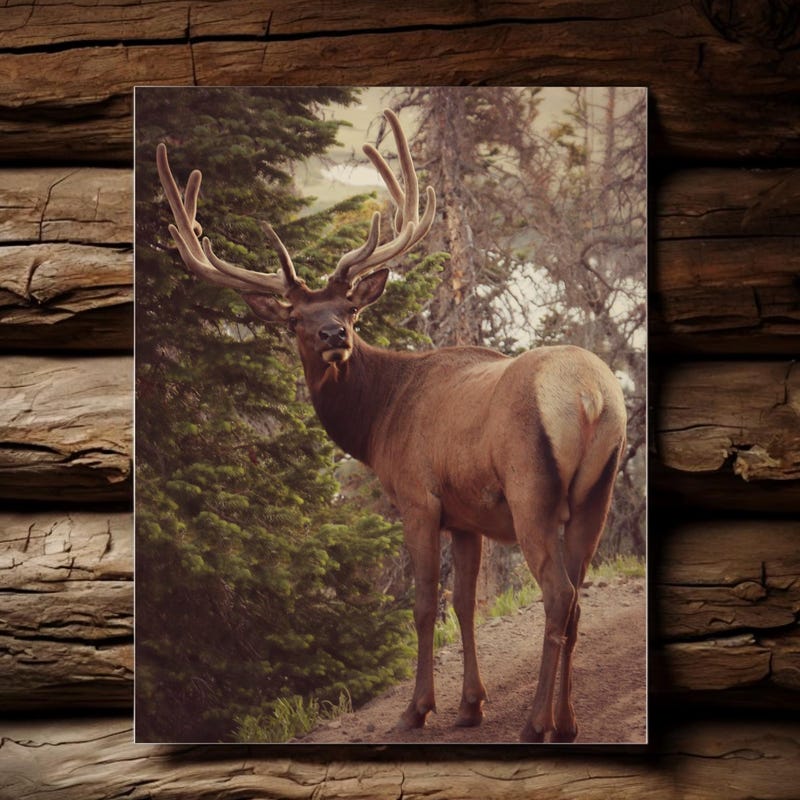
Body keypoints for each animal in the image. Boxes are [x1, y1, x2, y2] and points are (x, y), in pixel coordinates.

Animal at [155, 108, 627, 743]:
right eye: (297, 318)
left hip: (532, 490)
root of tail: (592, 397)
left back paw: (535, 723)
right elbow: (464, 603)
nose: (334, 334)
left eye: (351, 309)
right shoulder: (467, 518)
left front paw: (417, 708)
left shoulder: (418, 497)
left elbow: (424, 603)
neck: (378, 420)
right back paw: (568, 722)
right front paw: (470, 705)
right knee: (576, 599)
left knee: (556, 596)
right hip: (597, 494)